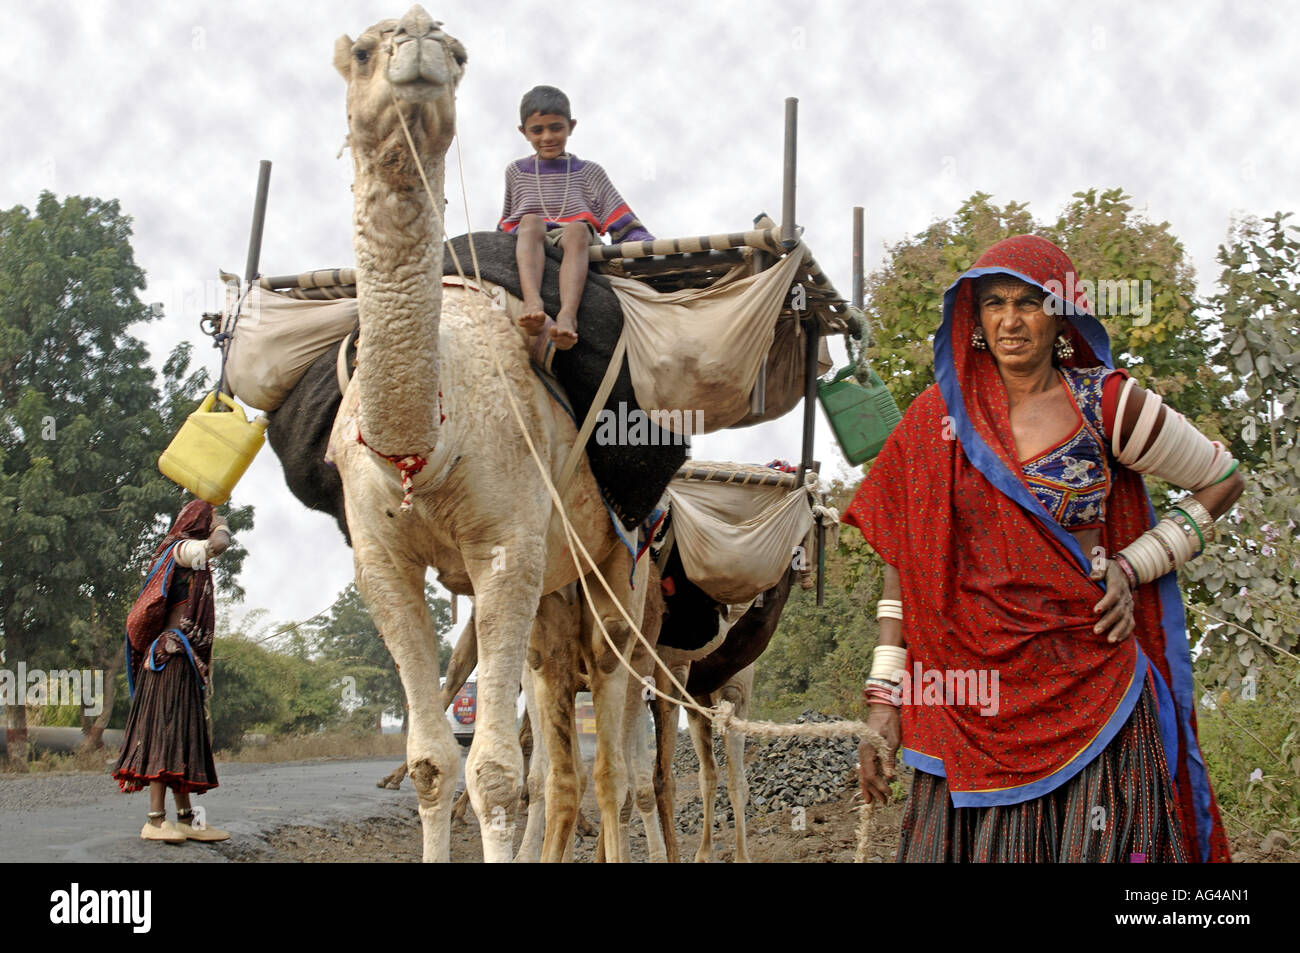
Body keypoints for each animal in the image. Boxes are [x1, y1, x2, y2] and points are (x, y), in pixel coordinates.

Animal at [329, 7, 646, 862]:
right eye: (363, 48)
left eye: (460, 52)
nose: (417, 40)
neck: (427, 442)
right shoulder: (382, 559)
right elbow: (434, 762)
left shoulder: (506, 544)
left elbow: (497, 775)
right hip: (556, 595)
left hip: (623, 577)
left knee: (618, 759)